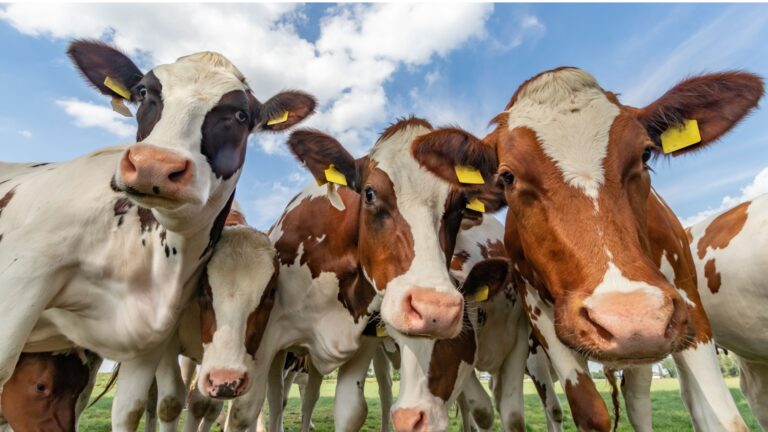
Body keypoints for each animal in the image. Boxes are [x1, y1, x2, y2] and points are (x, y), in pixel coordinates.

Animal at [0, 39, 314, 432]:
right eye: (144, 92)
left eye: (242, 115)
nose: (155, 165)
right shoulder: (24, 282)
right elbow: (169, 401)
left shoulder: (159, 339)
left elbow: (149, 406)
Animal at [411, 67, 763, 431]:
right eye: (507, 176)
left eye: (645, 155)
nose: (631, 318)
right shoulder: (538, 311)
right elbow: (589, 410)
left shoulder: (687, 298)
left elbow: (724, 419)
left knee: (639, 400)